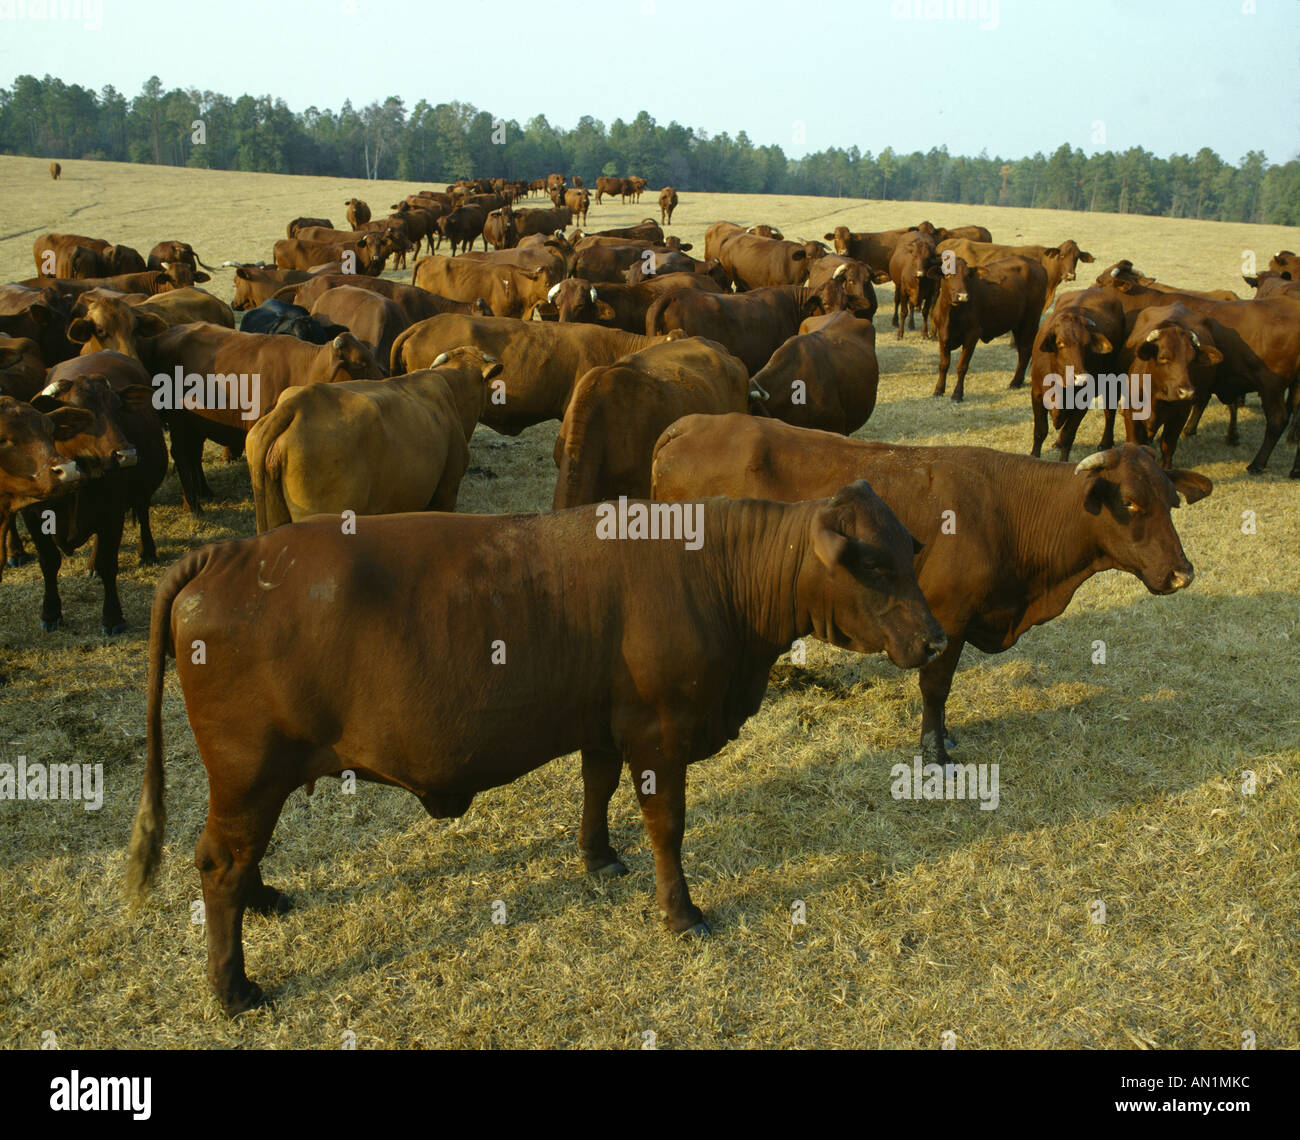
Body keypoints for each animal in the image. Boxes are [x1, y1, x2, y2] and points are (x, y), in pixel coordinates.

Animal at [126, 478, 945, 1014]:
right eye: (874, 565)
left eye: (911, 553)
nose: (937, 641)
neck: (714, 572)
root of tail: (231, 552)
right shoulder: (660, 733)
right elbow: (668, 827)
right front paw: (681, 913)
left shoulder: (605, 722)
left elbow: (597, 788)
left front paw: (597, 857)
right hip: (248, 770)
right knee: (220, 861)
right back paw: (233, 988)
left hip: (258, 777)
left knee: (242, 856)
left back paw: (266, 901)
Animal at [651, 415, 1212, 772]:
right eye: (1132, 503)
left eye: (1171, 500)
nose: (1182, 573)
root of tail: (691, 423)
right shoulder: (948, 620)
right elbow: (936, 688)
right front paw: (934, 752)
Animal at [931, 255, 1049, 400]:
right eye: (947, 274)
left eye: (968, 275)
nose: (962, 296)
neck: (952, 315)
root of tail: (1037, 265)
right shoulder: (942, 336)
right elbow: (943, 365)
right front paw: (938, 390)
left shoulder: (972, 336)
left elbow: (962, 366)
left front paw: (957, 394)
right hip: (1017, 323)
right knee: (1022, 351)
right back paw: (1017, 381)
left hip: (1030, 320)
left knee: (1026, 350)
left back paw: (1015, 382)